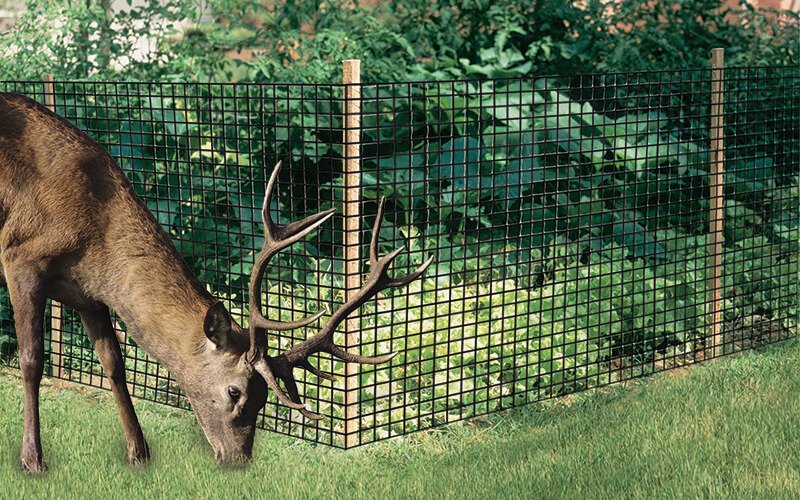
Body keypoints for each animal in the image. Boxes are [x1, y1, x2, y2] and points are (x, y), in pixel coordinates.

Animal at [0, 92, 431, 472]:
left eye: (264, 398)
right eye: (234, 390)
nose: (238, 458)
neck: (93, 232)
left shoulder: (88, 294)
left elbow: (115, 364)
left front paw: (140, 454)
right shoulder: (21, 257)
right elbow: (31, 360)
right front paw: (32, 460)